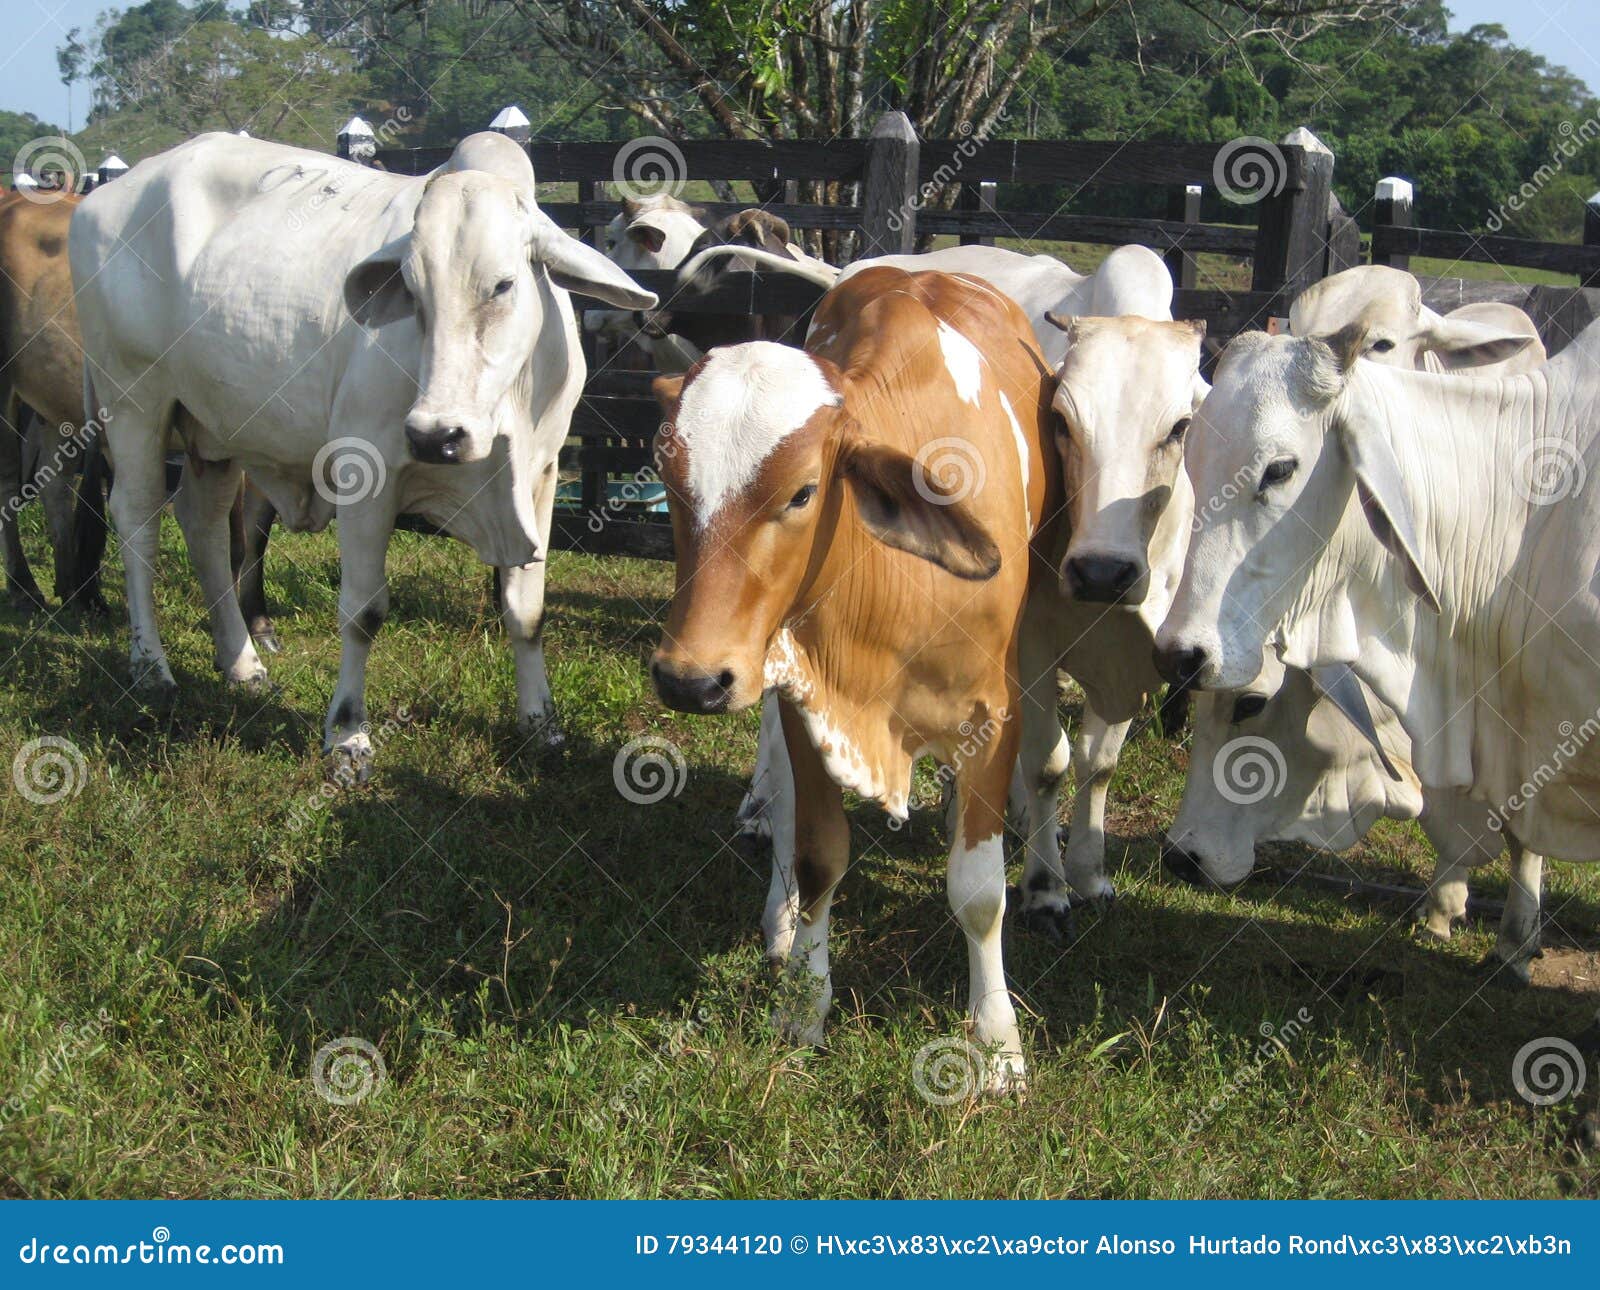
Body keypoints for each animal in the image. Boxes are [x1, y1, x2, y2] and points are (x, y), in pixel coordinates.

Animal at [70, 131, 654, 773]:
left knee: (202, 524)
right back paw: (151, 666)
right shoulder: (365, 474)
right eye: (413, 293)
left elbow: (527, 609)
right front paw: (348, 736)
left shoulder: (541, 473)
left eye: (503, 284)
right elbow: (363, 611)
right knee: (138, 520)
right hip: (134, 400)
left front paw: (540, 724)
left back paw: (242, 662)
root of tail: (103, 194)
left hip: (212, 427)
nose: (435, 435)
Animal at [649, 267, 1061, 1090]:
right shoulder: (805, 702)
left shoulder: (993, 716)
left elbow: (979, 893)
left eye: (803, 492)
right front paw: (803, 1008)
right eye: (669, 481)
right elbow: (817, 857)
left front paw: (998, 1043)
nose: (689, 679)